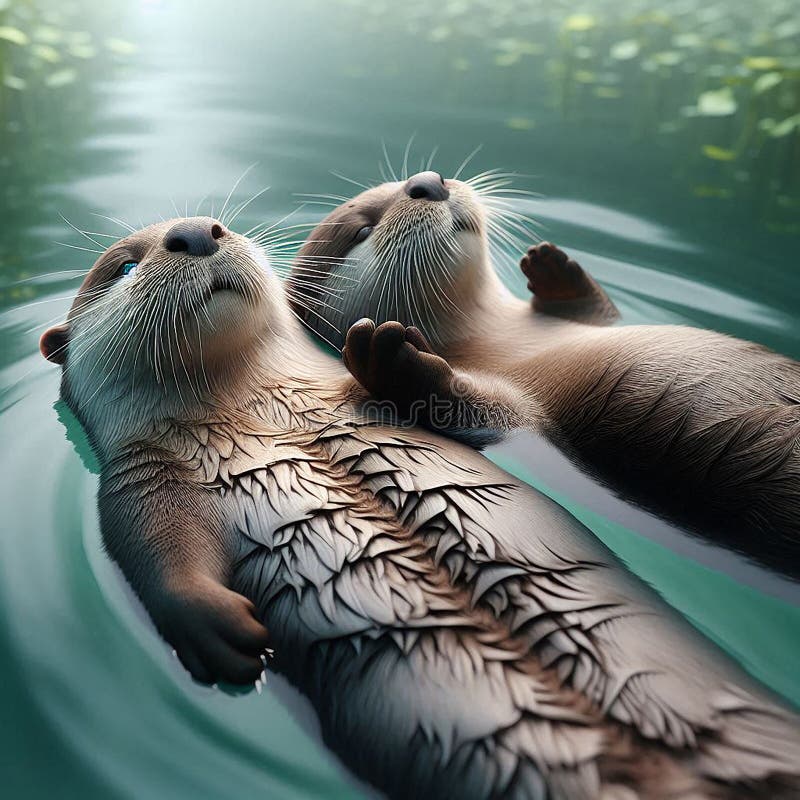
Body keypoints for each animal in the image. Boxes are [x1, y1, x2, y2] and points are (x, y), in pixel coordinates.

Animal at [40, 216, 800, 799]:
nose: (197, 231)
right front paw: (219, 629)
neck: (263, 412)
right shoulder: (141, 479)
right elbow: (154, 552)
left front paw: (394, 353)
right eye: (122, 265)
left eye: (219, 224)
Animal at [288, 171, 800, 577]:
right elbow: (481, 413)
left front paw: (553, 267)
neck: (505, 339)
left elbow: (598, 314)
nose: (429, 182)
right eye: (363, 229)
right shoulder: (527, 413)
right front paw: (389, 355)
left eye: (417, 179)